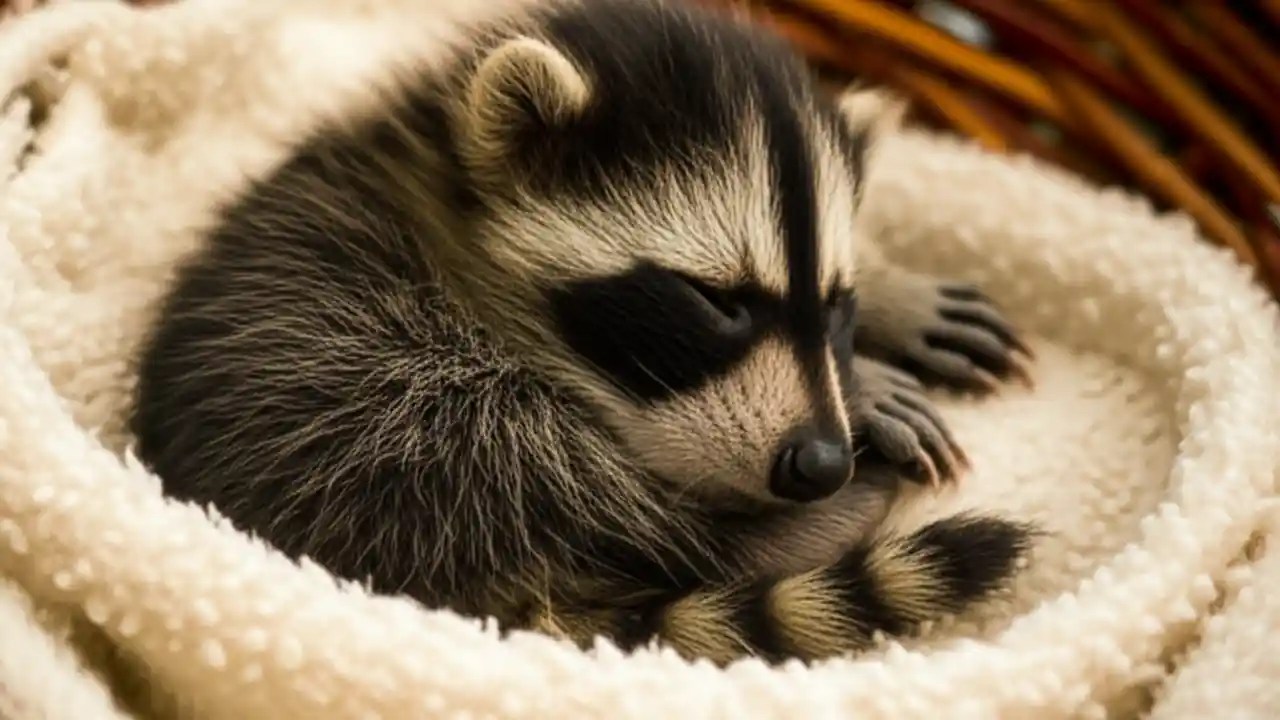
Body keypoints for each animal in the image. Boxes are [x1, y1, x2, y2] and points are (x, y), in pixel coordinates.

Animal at [129, 0, 1036, 665]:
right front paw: (869, 387)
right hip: (349, 406)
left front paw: (886, 305)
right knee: (546, 462)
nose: (818, 465)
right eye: (716, 301)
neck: (443, 186)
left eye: (838, 303)